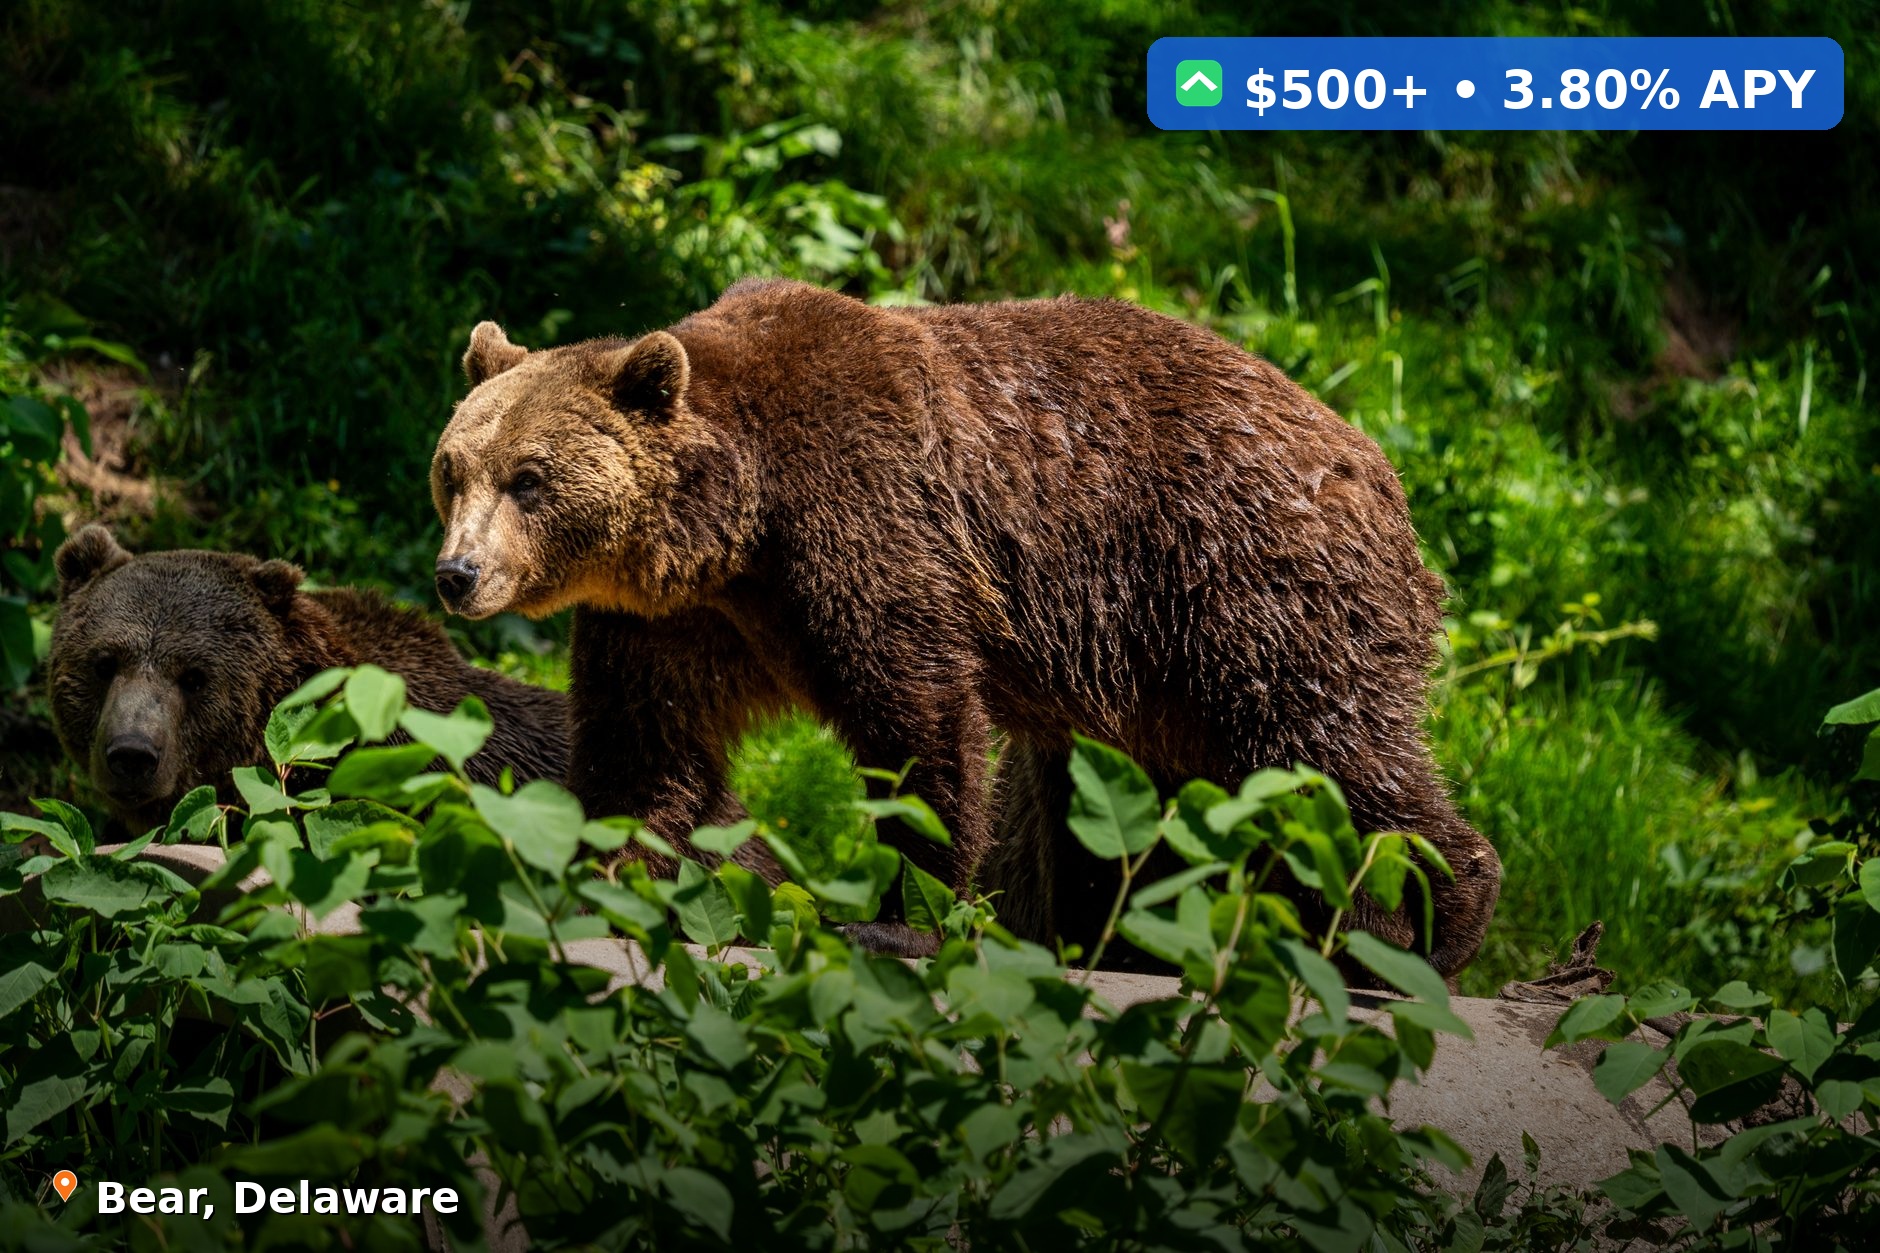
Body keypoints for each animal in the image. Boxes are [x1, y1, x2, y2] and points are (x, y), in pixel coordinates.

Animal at [428, 278, 1500, 974]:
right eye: (454, 469)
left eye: (531, 478)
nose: (456, 574)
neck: (735, 526)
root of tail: (1375, 461)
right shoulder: (679, 622)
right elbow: (645, 745)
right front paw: (602, 877)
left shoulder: (867, 526)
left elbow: (918, 720)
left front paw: (901, 917)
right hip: (1153, 673)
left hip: (1243, 584)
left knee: (1326, 751)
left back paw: (1437, 920)